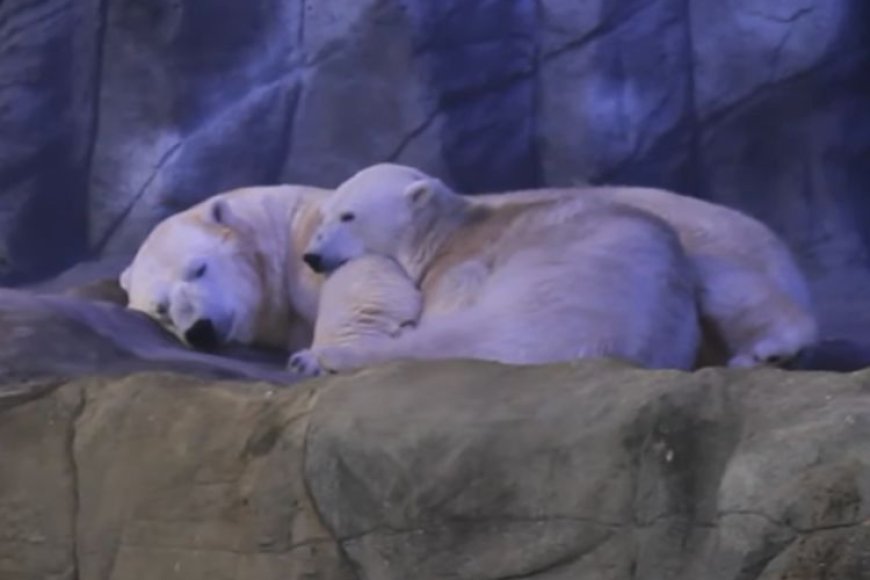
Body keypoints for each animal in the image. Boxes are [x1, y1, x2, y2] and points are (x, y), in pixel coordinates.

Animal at [295, 163, 818, 372]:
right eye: (325, 216)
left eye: (348, 215)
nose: (313, 257)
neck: (450, 226)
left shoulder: (465, 260)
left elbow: (447, 307)